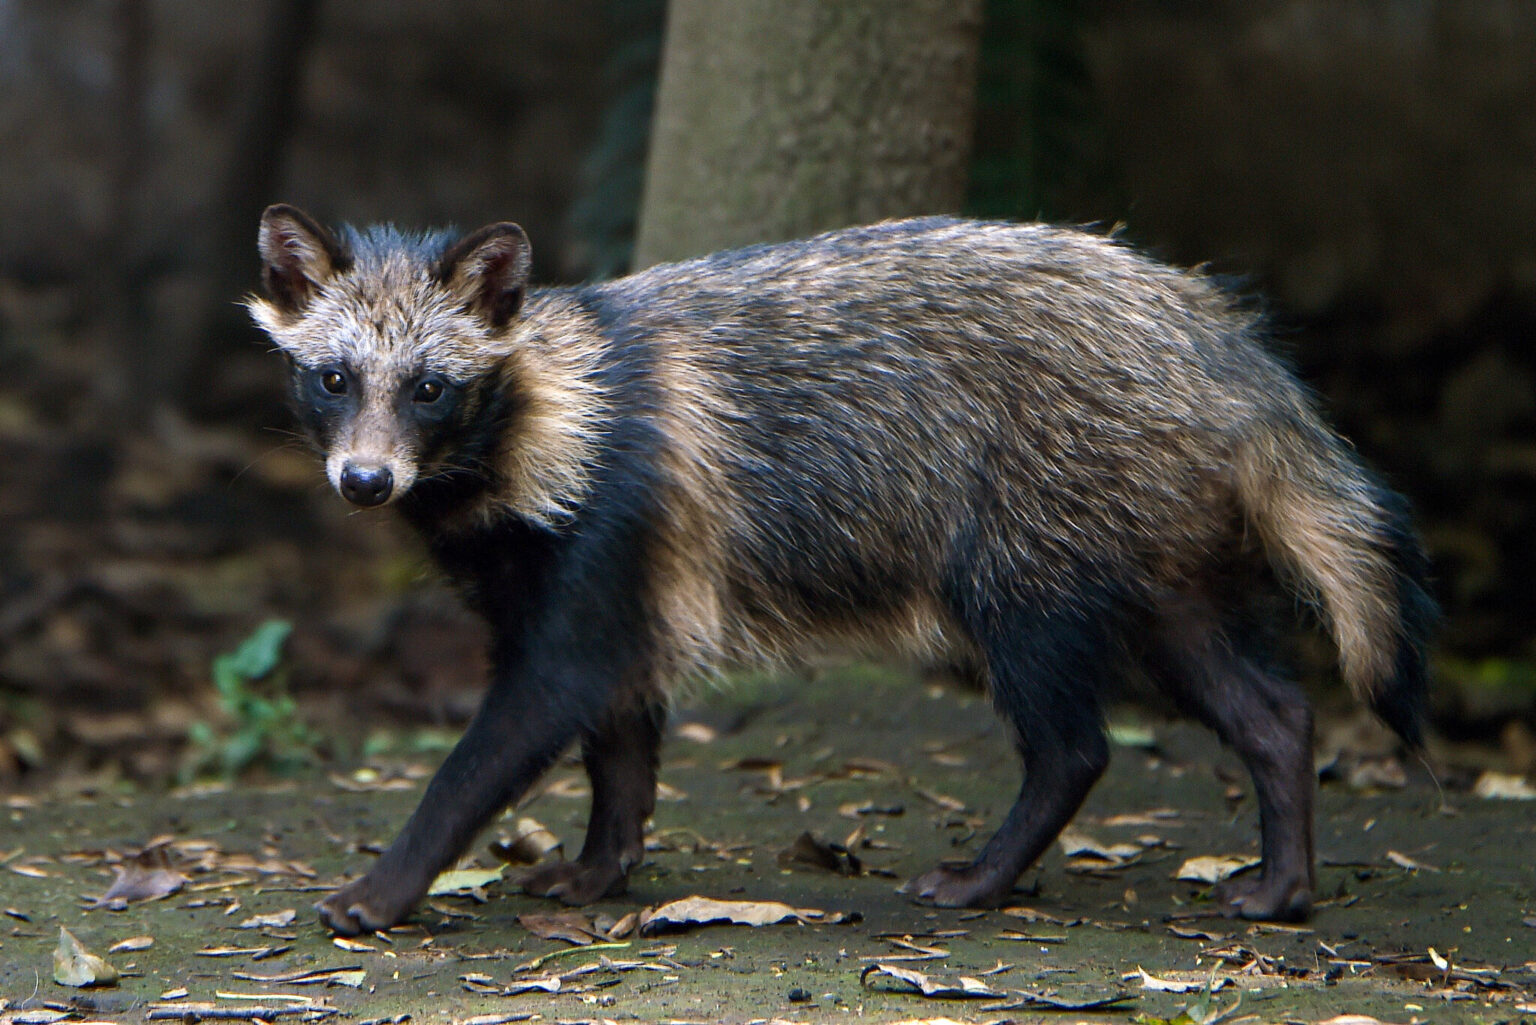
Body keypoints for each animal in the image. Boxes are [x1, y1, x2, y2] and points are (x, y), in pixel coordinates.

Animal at [250, 204, 1435, 936]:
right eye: (334, 377)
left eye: (430, 388)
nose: (365, 480)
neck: (547, 413)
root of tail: (1208, 330)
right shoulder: (599, 587)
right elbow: (621, 745)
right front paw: (603, 862)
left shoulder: (604, 550)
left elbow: (494, 748)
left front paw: (387, 882)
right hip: (1153, 565)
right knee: (1272, 707)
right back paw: (1285, 876)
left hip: (1026, 552)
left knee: (1075, 742)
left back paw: (992, 870)